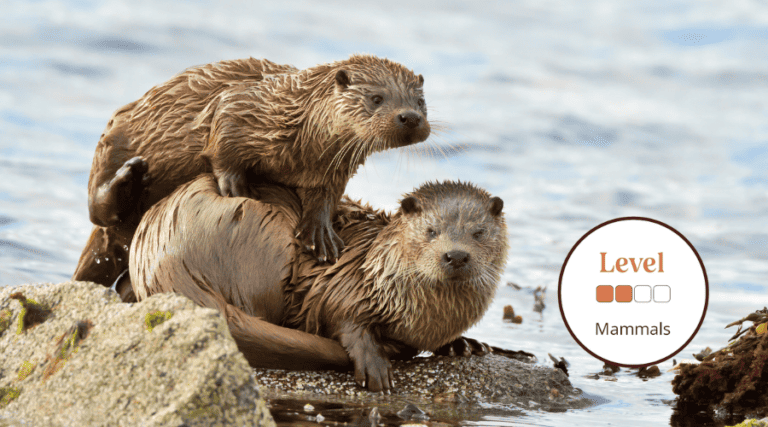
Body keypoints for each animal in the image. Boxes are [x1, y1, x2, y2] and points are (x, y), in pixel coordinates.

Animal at [73, 54, 430, 289]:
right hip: (111, 142)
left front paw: (321, 235)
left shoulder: (330, 170)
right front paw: (237, 187)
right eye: (376, 98)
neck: (302, 132)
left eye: (421, 101)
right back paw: (129, 176)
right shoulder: (239, 105)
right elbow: (221, 141)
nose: (410, 117)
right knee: (98, 209)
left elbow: (324, 198)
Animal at [128, 174, 509, 392]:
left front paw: (464, 344)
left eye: (478, 233)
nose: (456, 255)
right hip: (260, 235)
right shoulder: (339, 282)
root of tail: (165, 261)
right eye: (431, 231)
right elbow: (343, 318)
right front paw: (373, 363)